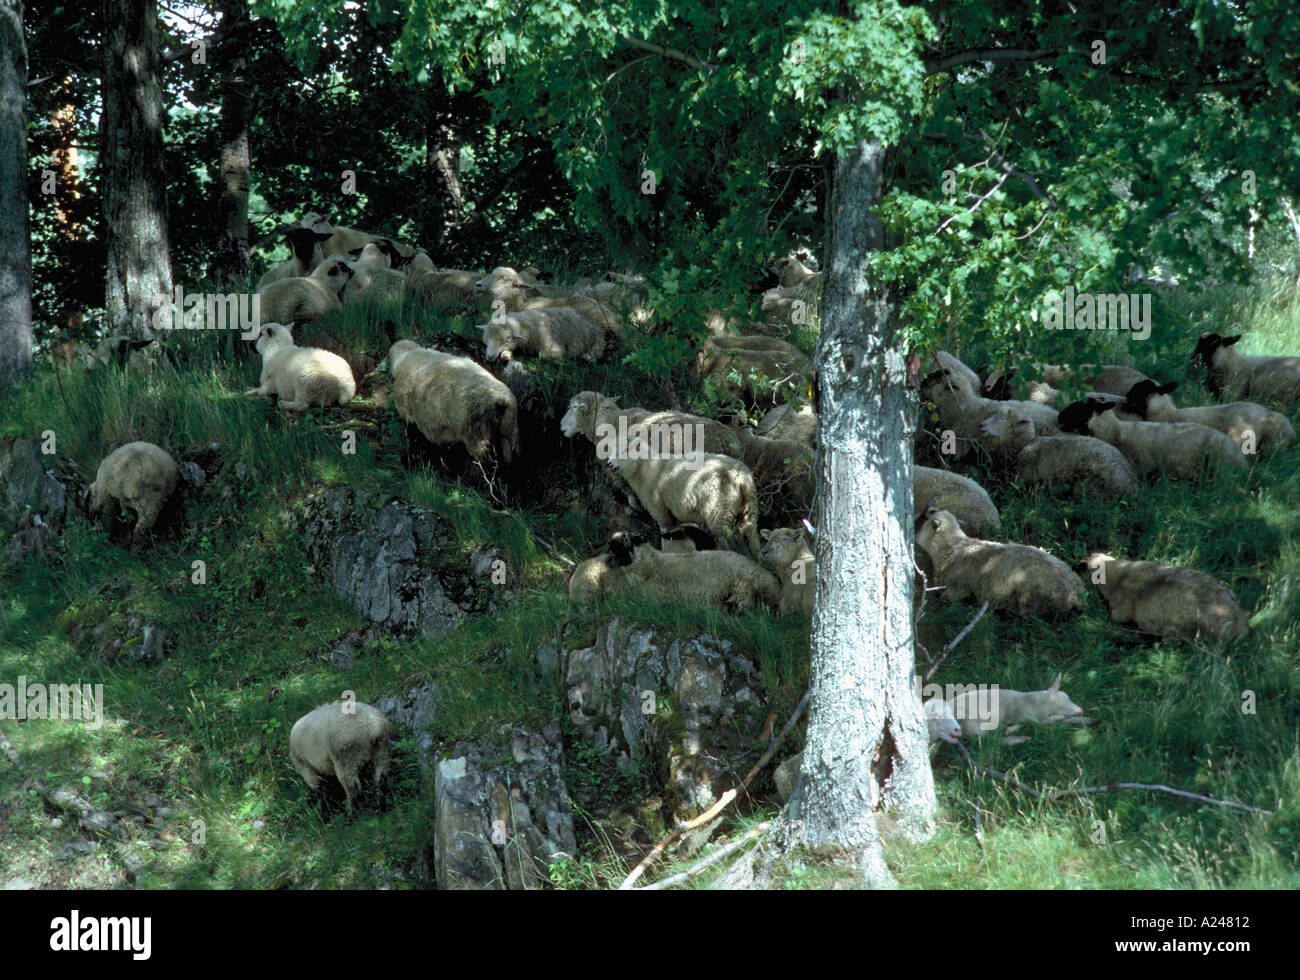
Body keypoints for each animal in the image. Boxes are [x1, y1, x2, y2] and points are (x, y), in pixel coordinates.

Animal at [475, 307, 606, 363]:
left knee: (596, 353)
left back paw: (587, 357)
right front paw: (506, 355)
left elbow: (544, 355)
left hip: (596, 341)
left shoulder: (552, 345)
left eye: (507, 338)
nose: (489, 357)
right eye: (486, 338)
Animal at [607, 450, 763, 556]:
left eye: (625, 450)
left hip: (719, 511)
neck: (646, 468)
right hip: (749, 509)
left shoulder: (660, 510)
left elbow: (666, 533)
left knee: (731, 541)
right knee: (750, 535)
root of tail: (742, 479)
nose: (609, 463)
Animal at [913, 508, 1085, 620]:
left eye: (925, 521)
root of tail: (1078, 594)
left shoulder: (958, 588)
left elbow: (945, 598)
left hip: (1032, 600)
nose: (913, 535)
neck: (952, 548)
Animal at [946, 675, 1090, 744]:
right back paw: (1019, 739)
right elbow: (1041, 723)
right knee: (986, 739)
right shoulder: (1022, 714)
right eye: (1060, 709)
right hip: (968, 723)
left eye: (1068, 696)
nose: (1081, 710)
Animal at [976, 409, 1138, 499]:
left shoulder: (1021, 479)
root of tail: (1132, 485)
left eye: (1002, 419)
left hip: (1090, 482)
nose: (981, 425)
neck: (1024, 445)